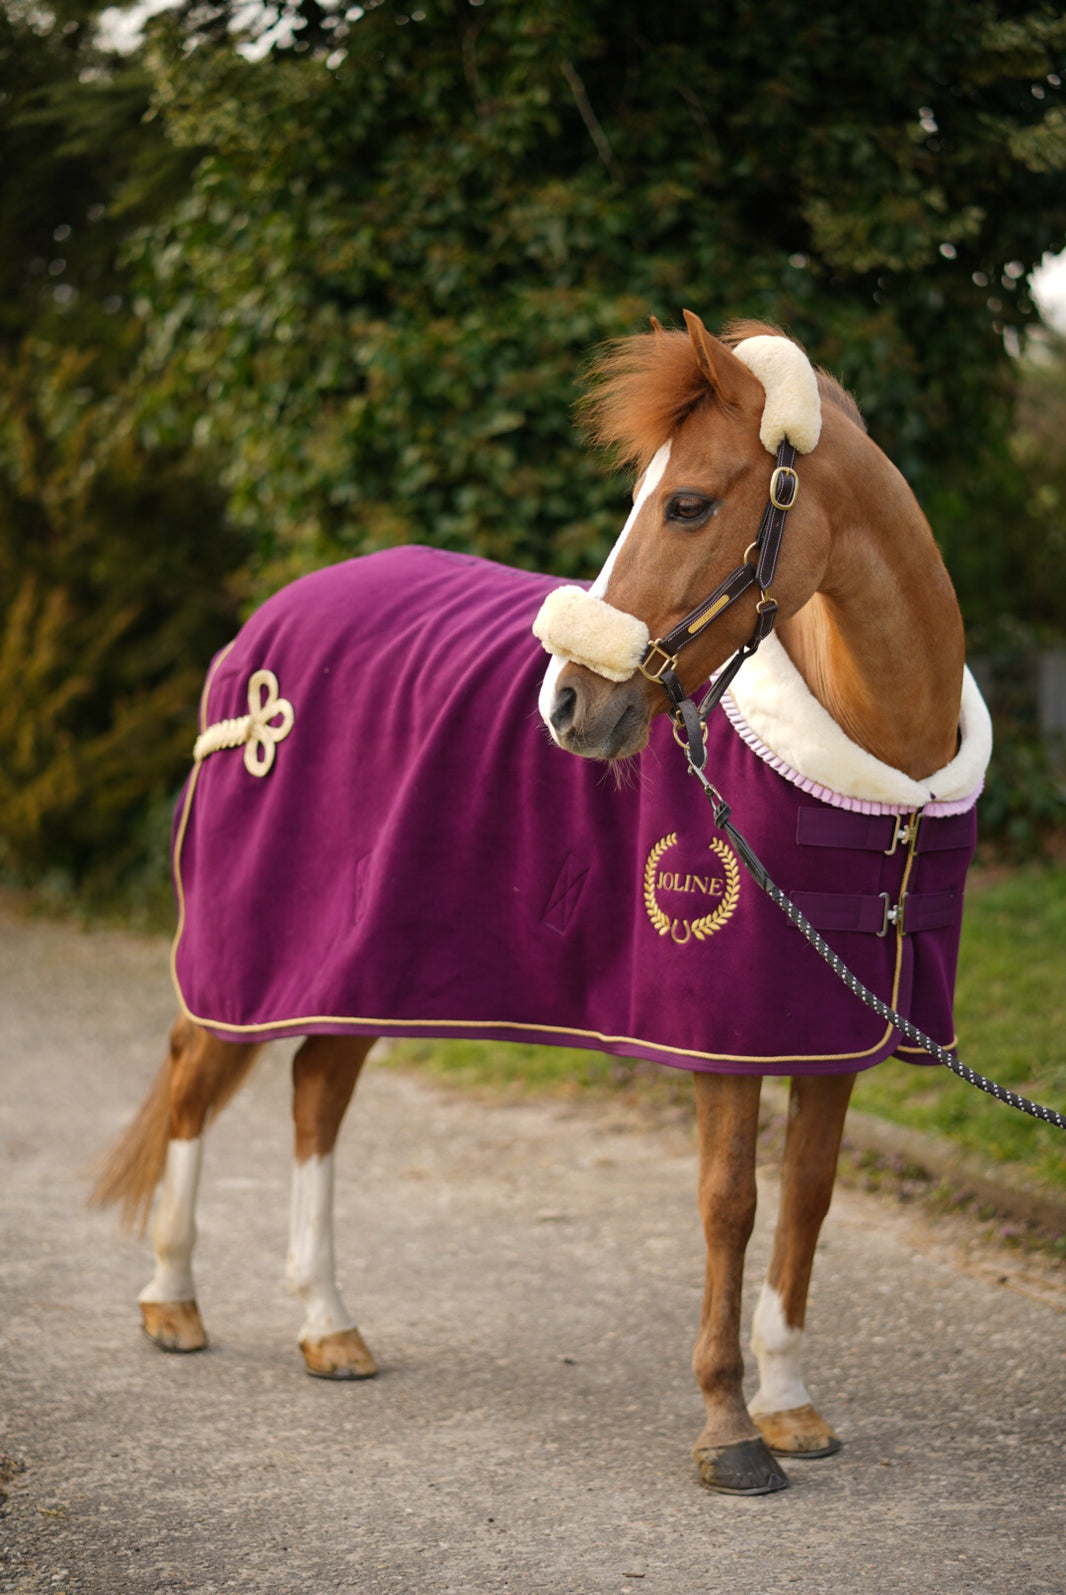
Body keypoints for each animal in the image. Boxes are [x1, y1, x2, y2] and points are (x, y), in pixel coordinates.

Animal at [91, 312, 990, 1497]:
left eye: (687, 501)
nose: (566, 704)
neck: (889, 781)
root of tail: (264, 631)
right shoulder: (724, 1037)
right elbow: (731, 1203)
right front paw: (729, 1426)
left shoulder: (828, 1032)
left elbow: (806, 1199)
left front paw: (791, 1401)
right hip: (250, 951)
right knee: (196, 1075)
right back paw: (173, 1299)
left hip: (360, 964)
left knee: (316, 1093)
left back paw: (328, 1324)